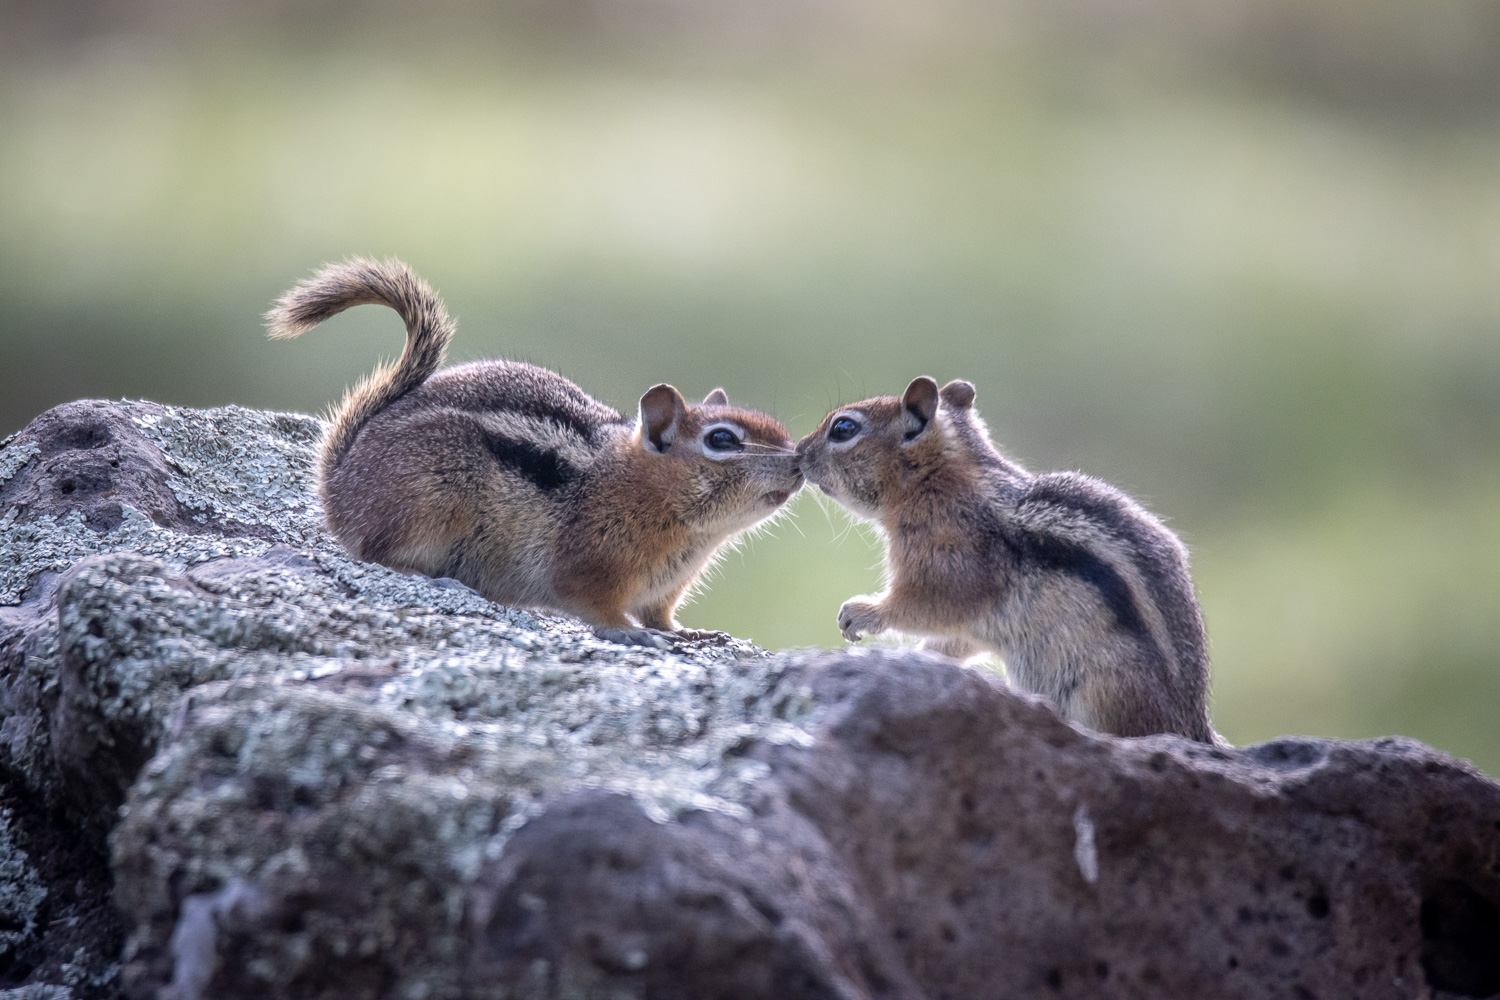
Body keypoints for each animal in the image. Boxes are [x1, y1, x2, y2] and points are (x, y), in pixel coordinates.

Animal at [266, 257, 803, 645]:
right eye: (722, 440)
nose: (799, 463)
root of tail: (338, 486)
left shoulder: (664, 590)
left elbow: (661, 617)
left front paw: (689, 633)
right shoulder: (588, 566)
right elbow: (597, 609)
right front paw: (629, 635)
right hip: (426, 501)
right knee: (376, 554)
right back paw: (444, 580)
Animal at [795, 376, 1219, 743]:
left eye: (843, 428)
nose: (798, 451)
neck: (938, 481)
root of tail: (1193, 724)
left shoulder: (944, 562)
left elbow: (922, 605)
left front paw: (860, 612)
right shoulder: (973, 626)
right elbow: (954, 639)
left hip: (1103, 688)